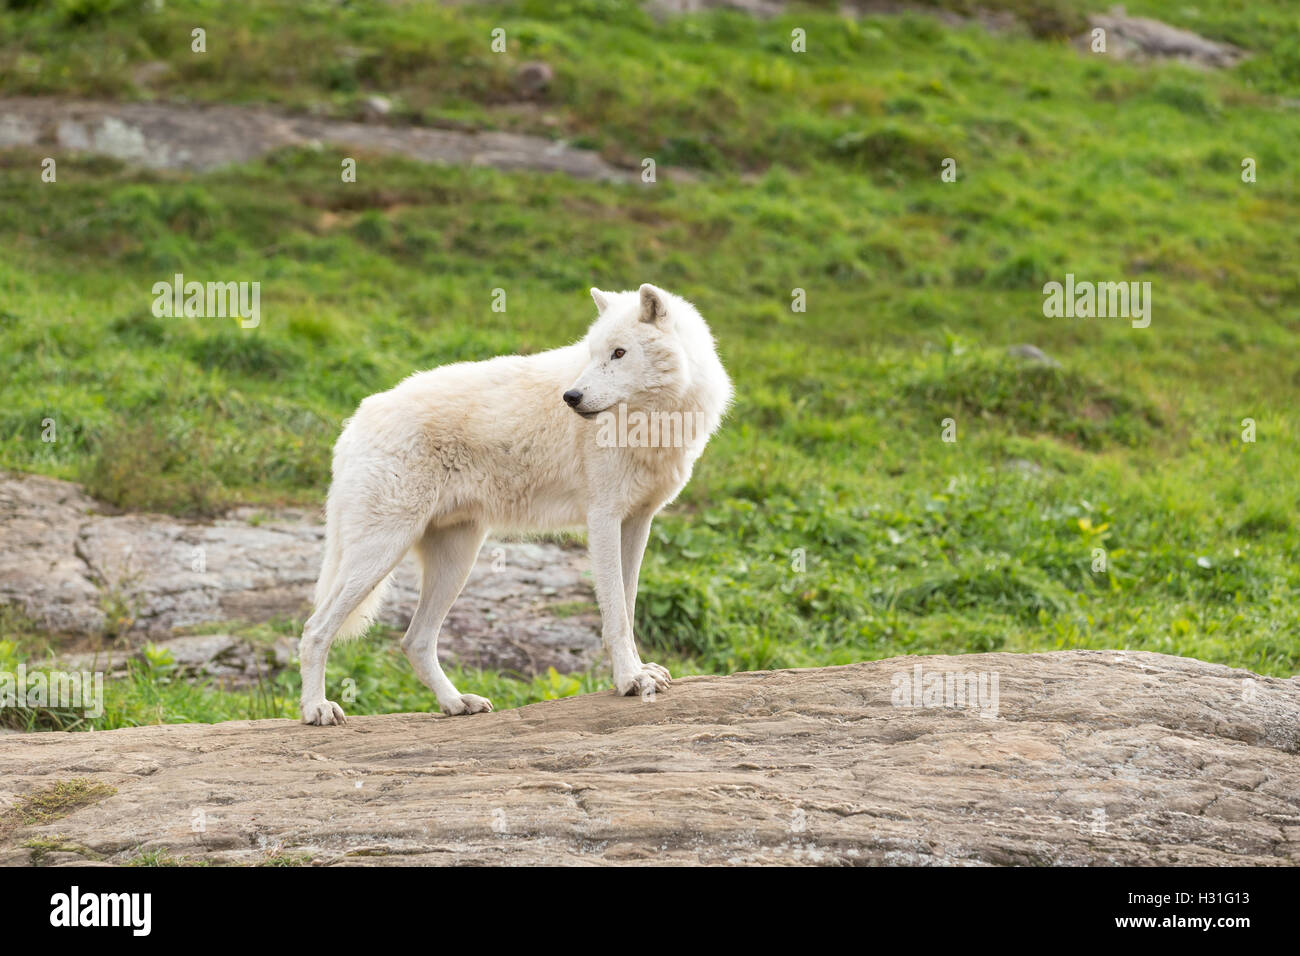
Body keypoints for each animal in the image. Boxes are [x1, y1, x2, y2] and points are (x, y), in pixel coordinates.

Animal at [299, 284, 733, 724]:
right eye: (593, 352)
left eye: (619, 353)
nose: (571, 397)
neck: (653, 425)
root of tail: (355, 421)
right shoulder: (603, 520)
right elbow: (615, 614)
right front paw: (630, 679)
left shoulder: (638, 522)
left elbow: (626, 609)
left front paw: (637, 671)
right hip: (381, 552)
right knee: (315, 630)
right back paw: (317, 708)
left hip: (456, 560)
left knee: (414, 640)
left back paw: (456, 703)